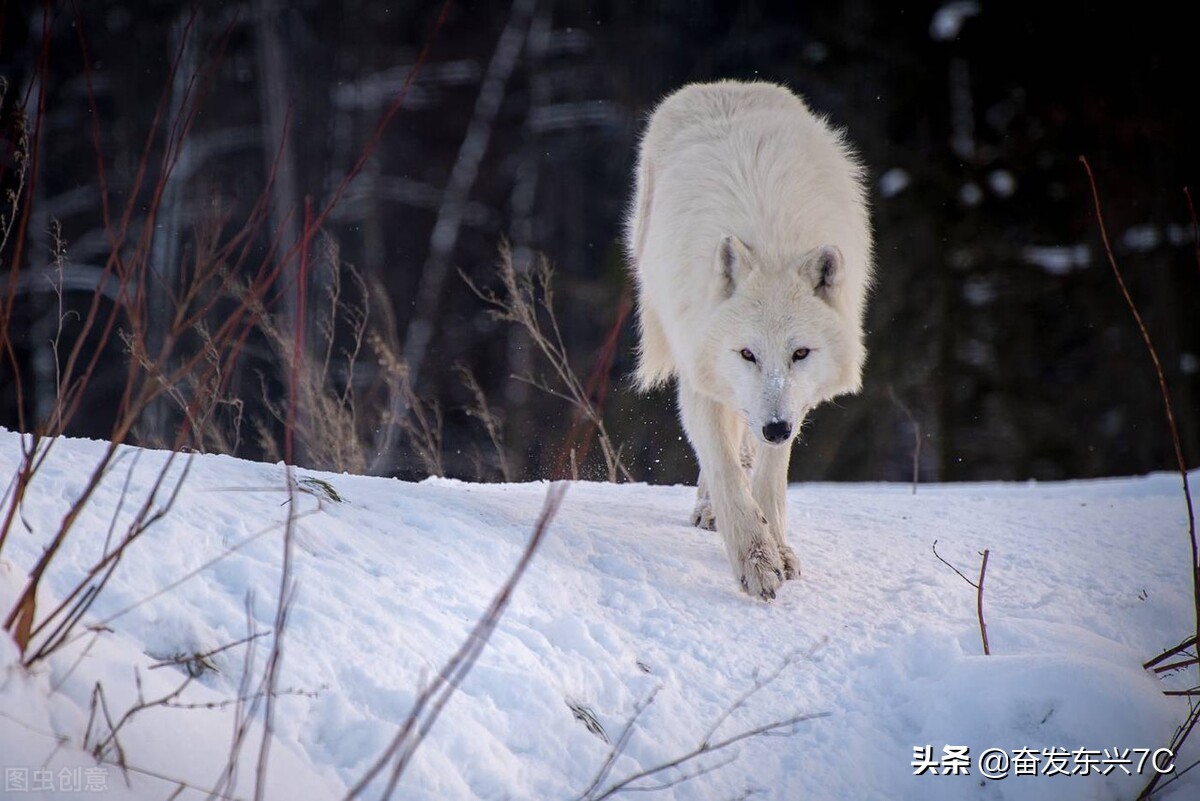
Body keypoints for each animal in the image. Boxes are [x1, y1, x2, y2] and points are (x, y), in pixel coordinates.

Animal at [626, 81, 873, 601]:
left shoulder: (790, 403)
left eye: (800, 353)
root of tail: (723, 85)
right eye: (747, 353)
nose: (776, 428)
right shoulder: (701, 374)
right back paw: (709, 510)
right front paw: (754, 561)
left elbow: (769, 478)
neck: (772, 240)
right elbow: (724, 470)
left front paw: (776, 548)